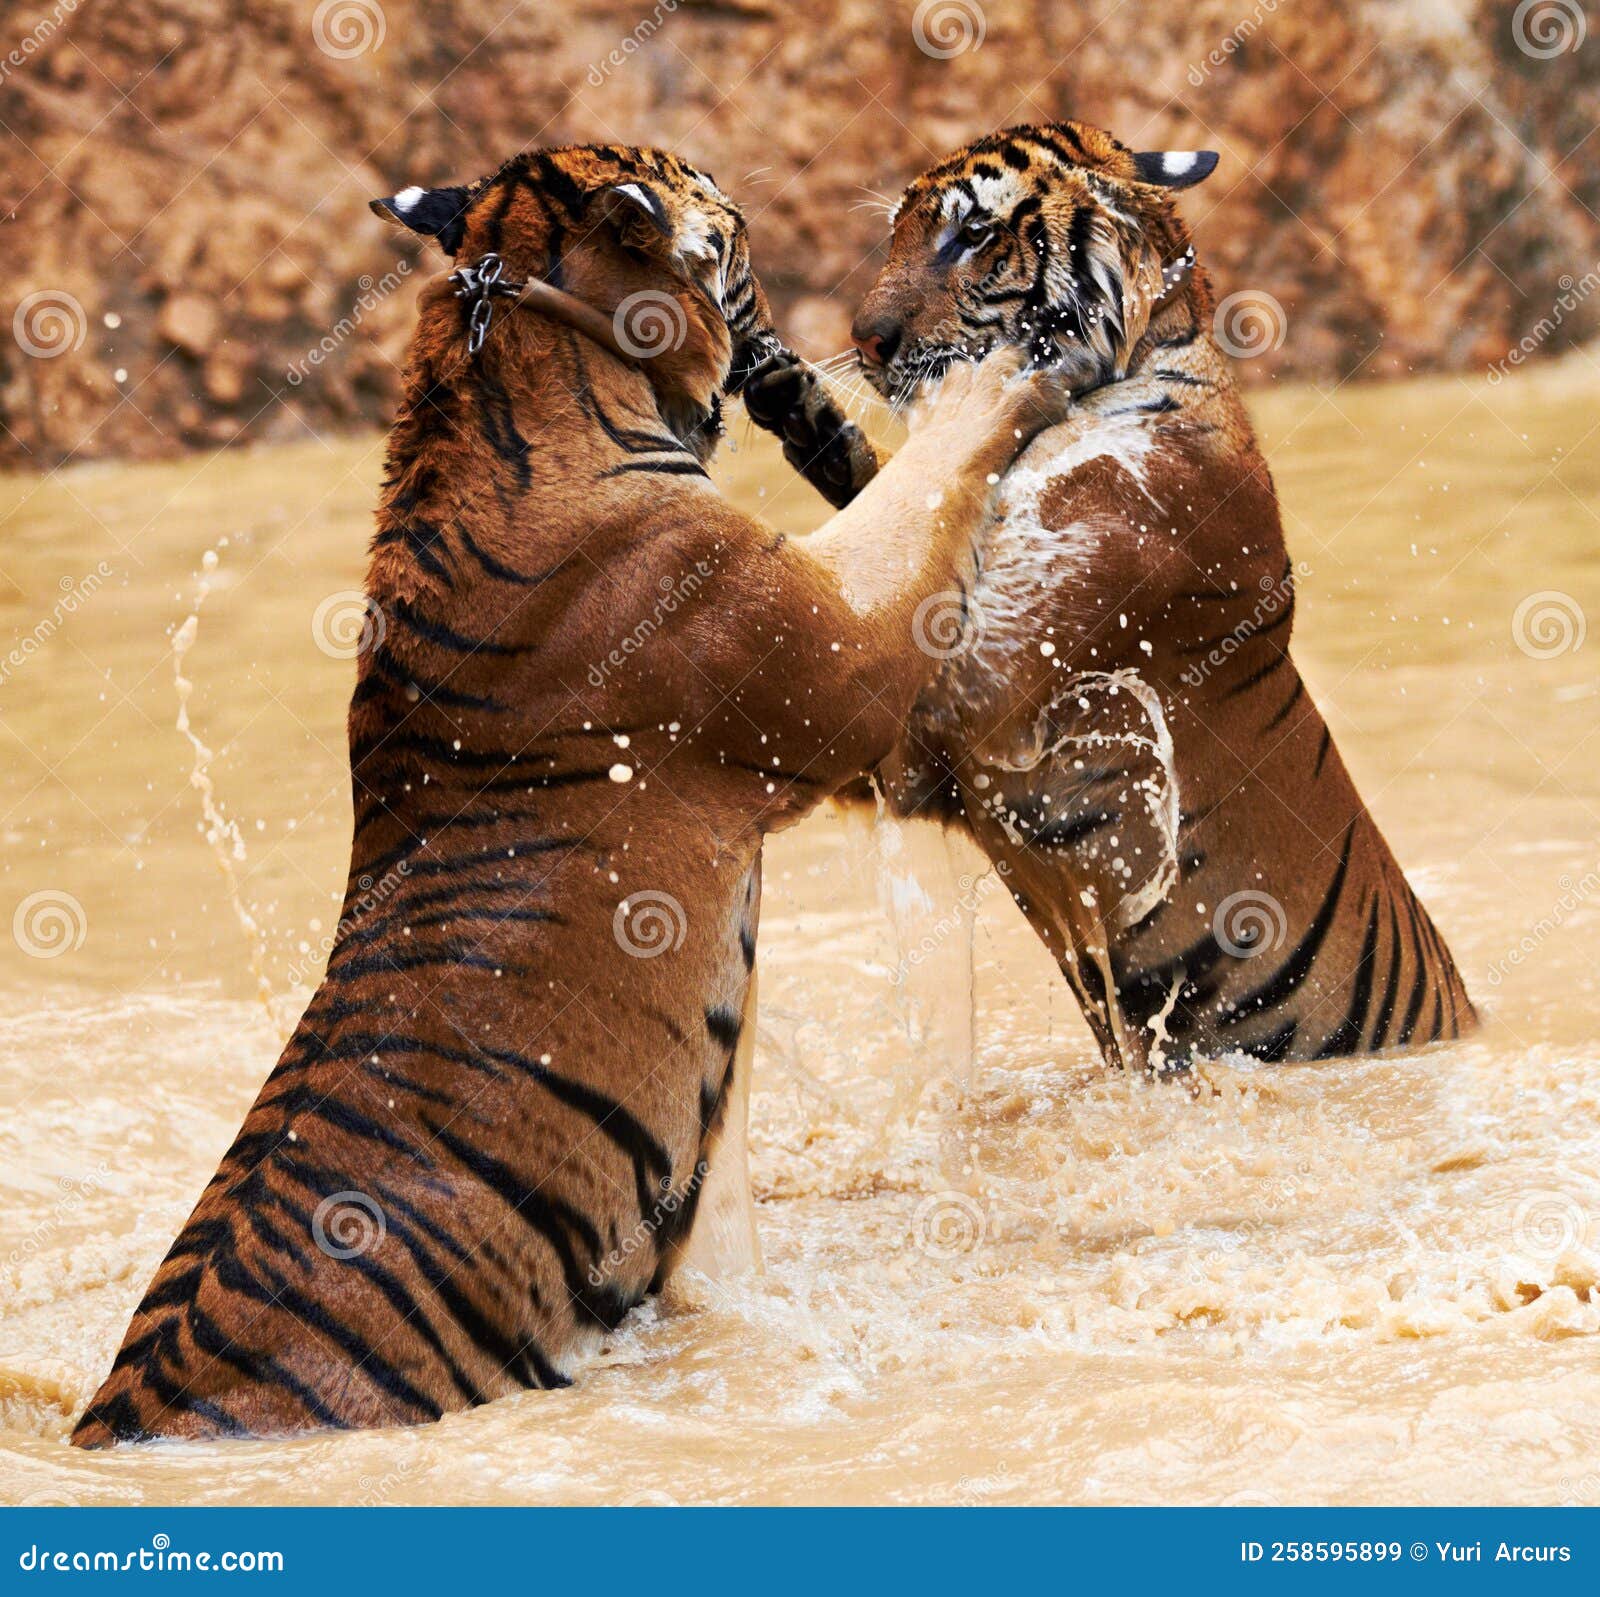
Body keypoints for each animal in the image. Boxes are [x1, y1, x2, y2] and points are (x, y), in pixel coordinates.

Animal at [71, 143, 1071, 1445]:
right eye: (729, 222)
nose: (802, 311)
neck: (523, 357)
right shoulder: (831, 653)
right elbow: (923, 486)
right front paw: (1010, 371)